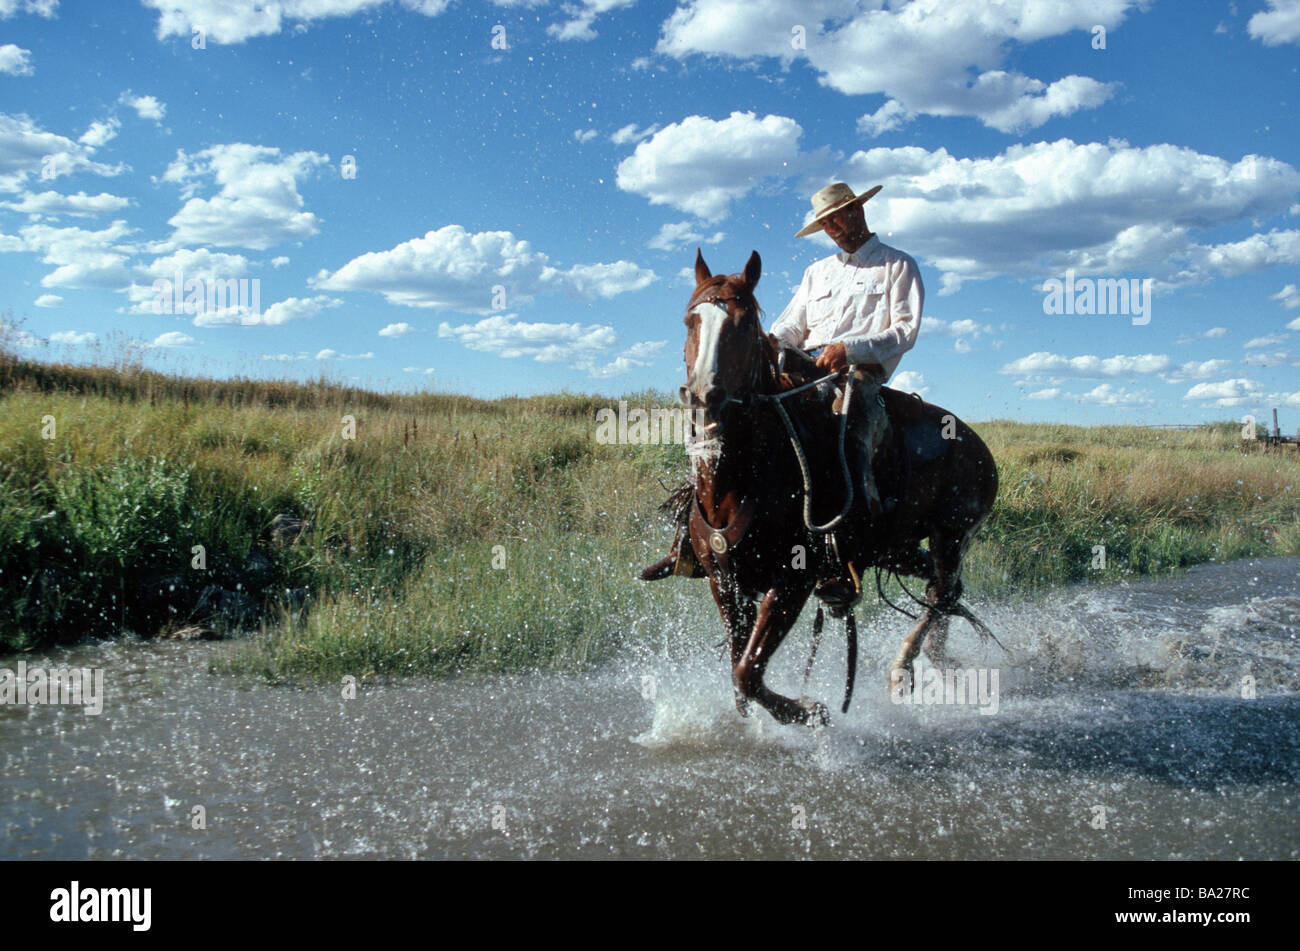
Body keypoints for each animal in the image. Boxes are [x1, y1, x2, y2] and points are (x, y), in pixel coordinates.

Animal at [677, 248, 999, 727]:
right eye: (690, 321)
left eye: (745, 323)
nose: (704, 396)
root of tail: (980, 448)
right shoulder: (725, 583)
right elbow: (740, 678)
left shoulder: (792, 581)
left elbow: (746, 674)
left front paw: (810, 711)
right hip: (899, 547)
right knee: (943, 592)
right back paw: (939, 659)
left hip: (953, 535)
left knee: (941, 593)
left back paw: (903, 667)